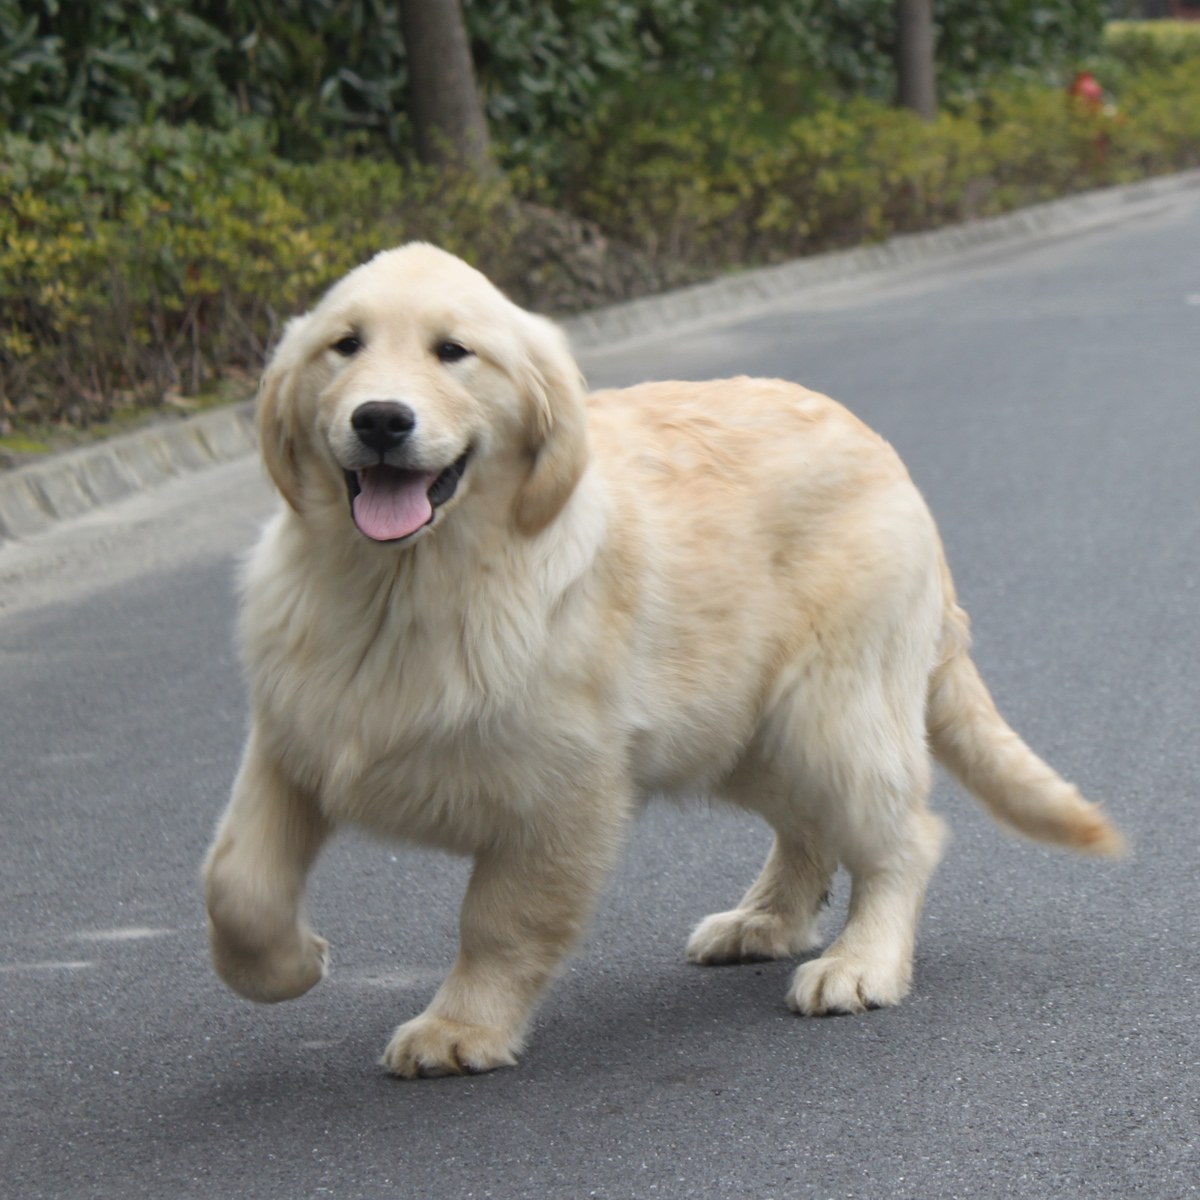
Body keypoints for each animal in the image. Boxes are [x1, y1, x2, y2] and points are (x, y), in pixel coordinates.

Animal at [199, 241, 1123, 1080]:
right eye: (344, 346)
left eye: (453, 352)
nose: (381, 419)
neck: (409, 584)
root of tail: (886, 455)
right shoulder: (294, 735)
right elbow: (237, 881)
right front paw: (288, 967)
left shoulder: (565, 788)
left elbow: (500, 918)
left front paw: (461, 1027)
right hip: (739, 729)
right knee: (810, 824)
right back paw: (766, 921)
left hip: (830, 710)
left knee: (904, 835)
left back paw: (862, 961)